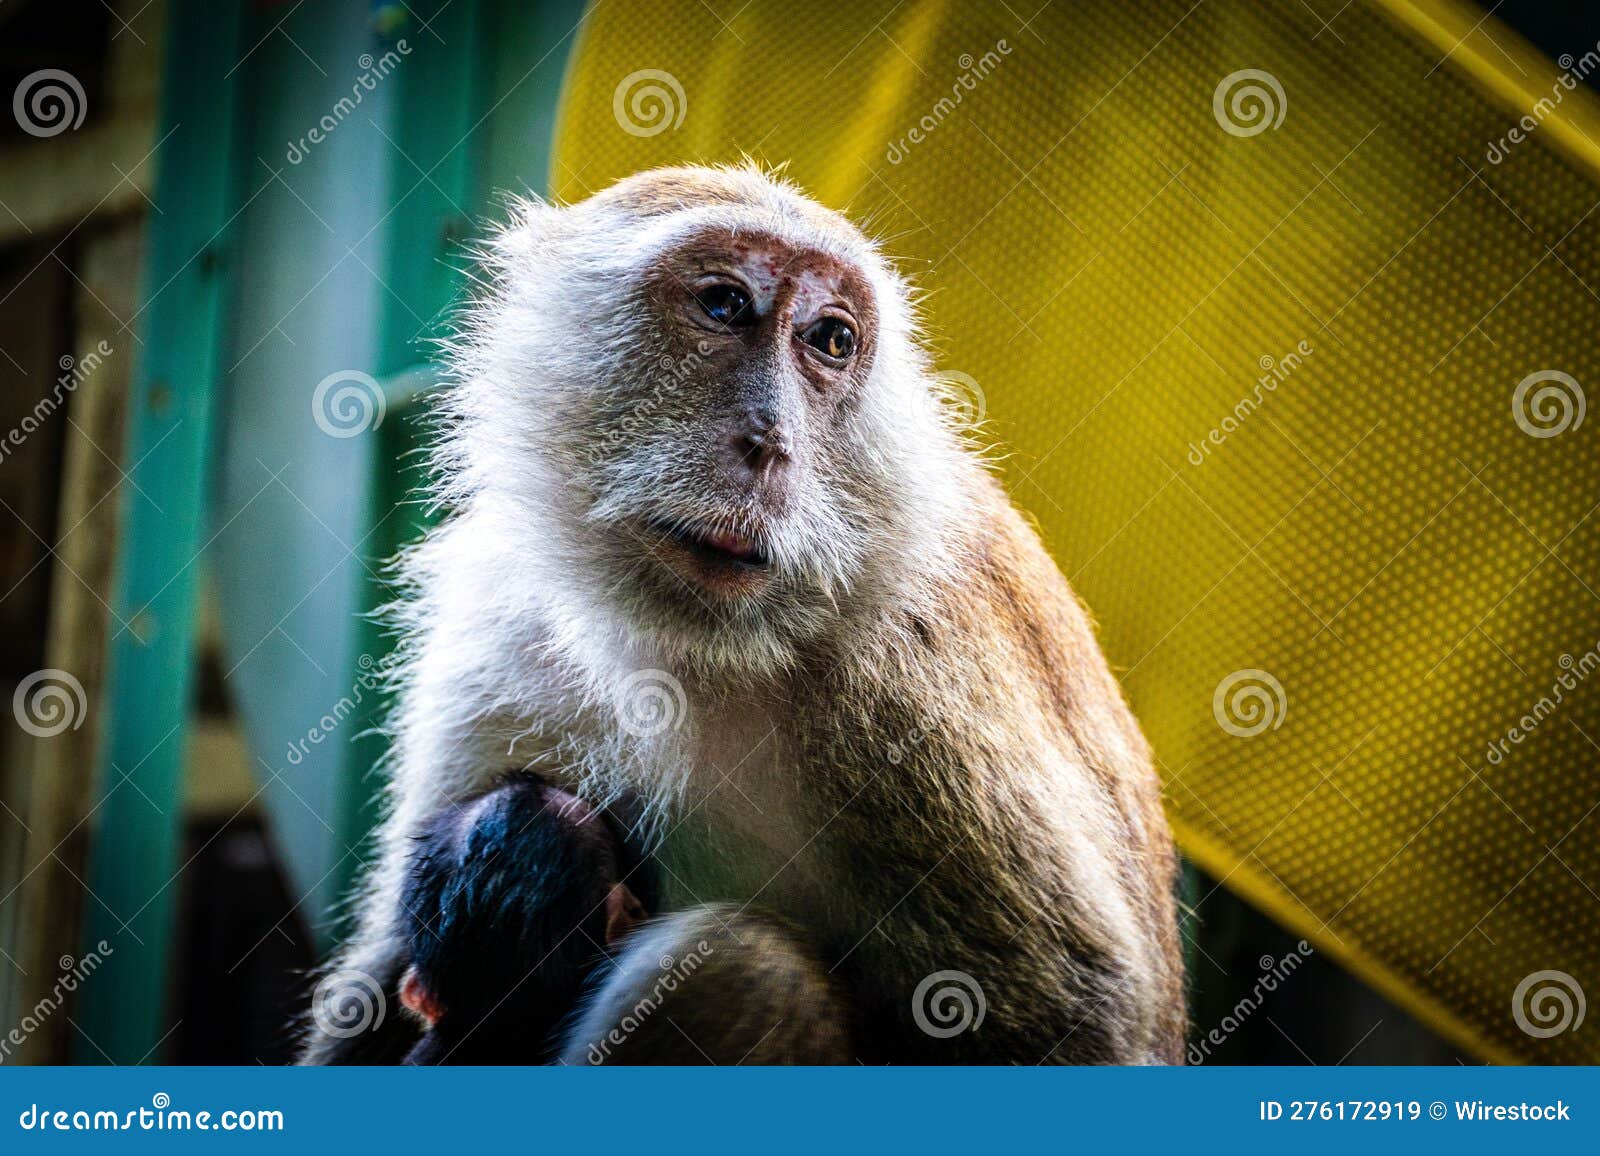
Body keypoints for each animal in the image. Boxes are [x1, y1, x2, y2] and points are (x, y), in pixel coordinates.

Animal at [299, 162, 1185, 1065]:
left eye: (830, 341)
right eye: (725, 305)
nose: (770, 443)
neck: (693, 644)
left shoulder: (911, 691)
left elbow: (1075, 1018)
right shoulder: (499, 617)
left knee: (740, 965)